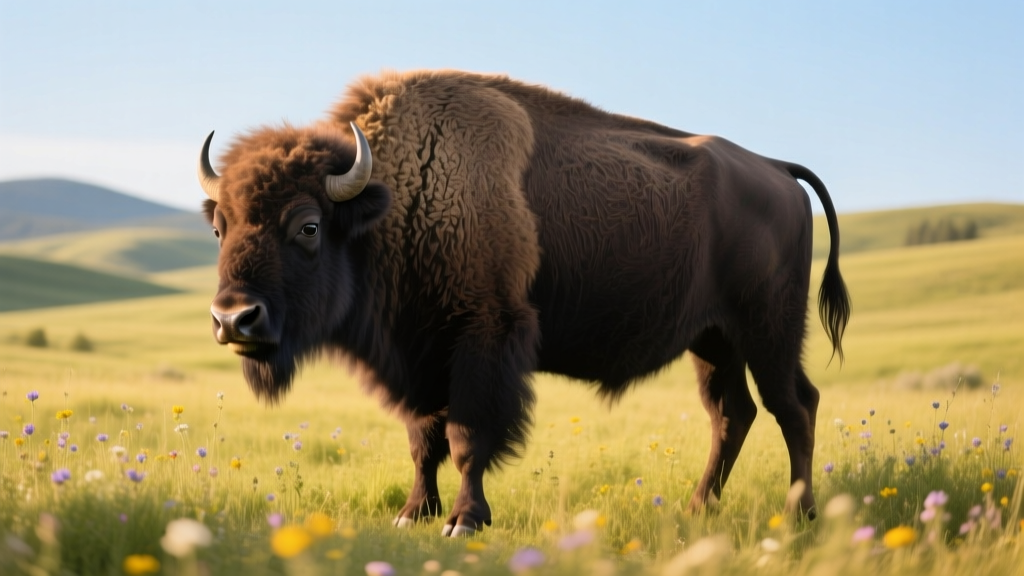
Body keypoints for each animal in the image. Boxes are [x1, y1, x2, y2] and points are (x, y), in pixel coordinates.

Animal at [198, 70, 850, 536]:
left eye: (308, 226)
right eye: (219, 227)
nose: (234, 318)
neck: (397, 198)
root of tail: (775, 170)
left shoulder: (483, 337)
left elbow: (465, 437)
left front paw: (463, 521)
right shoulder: (419, 354)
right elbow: (422, 440)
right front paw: (413, 513)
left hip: (769, 330)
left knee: (794, 406)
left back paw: (800, 515)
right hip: (713, 341)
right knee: (732, 414)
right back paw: (697, 509)